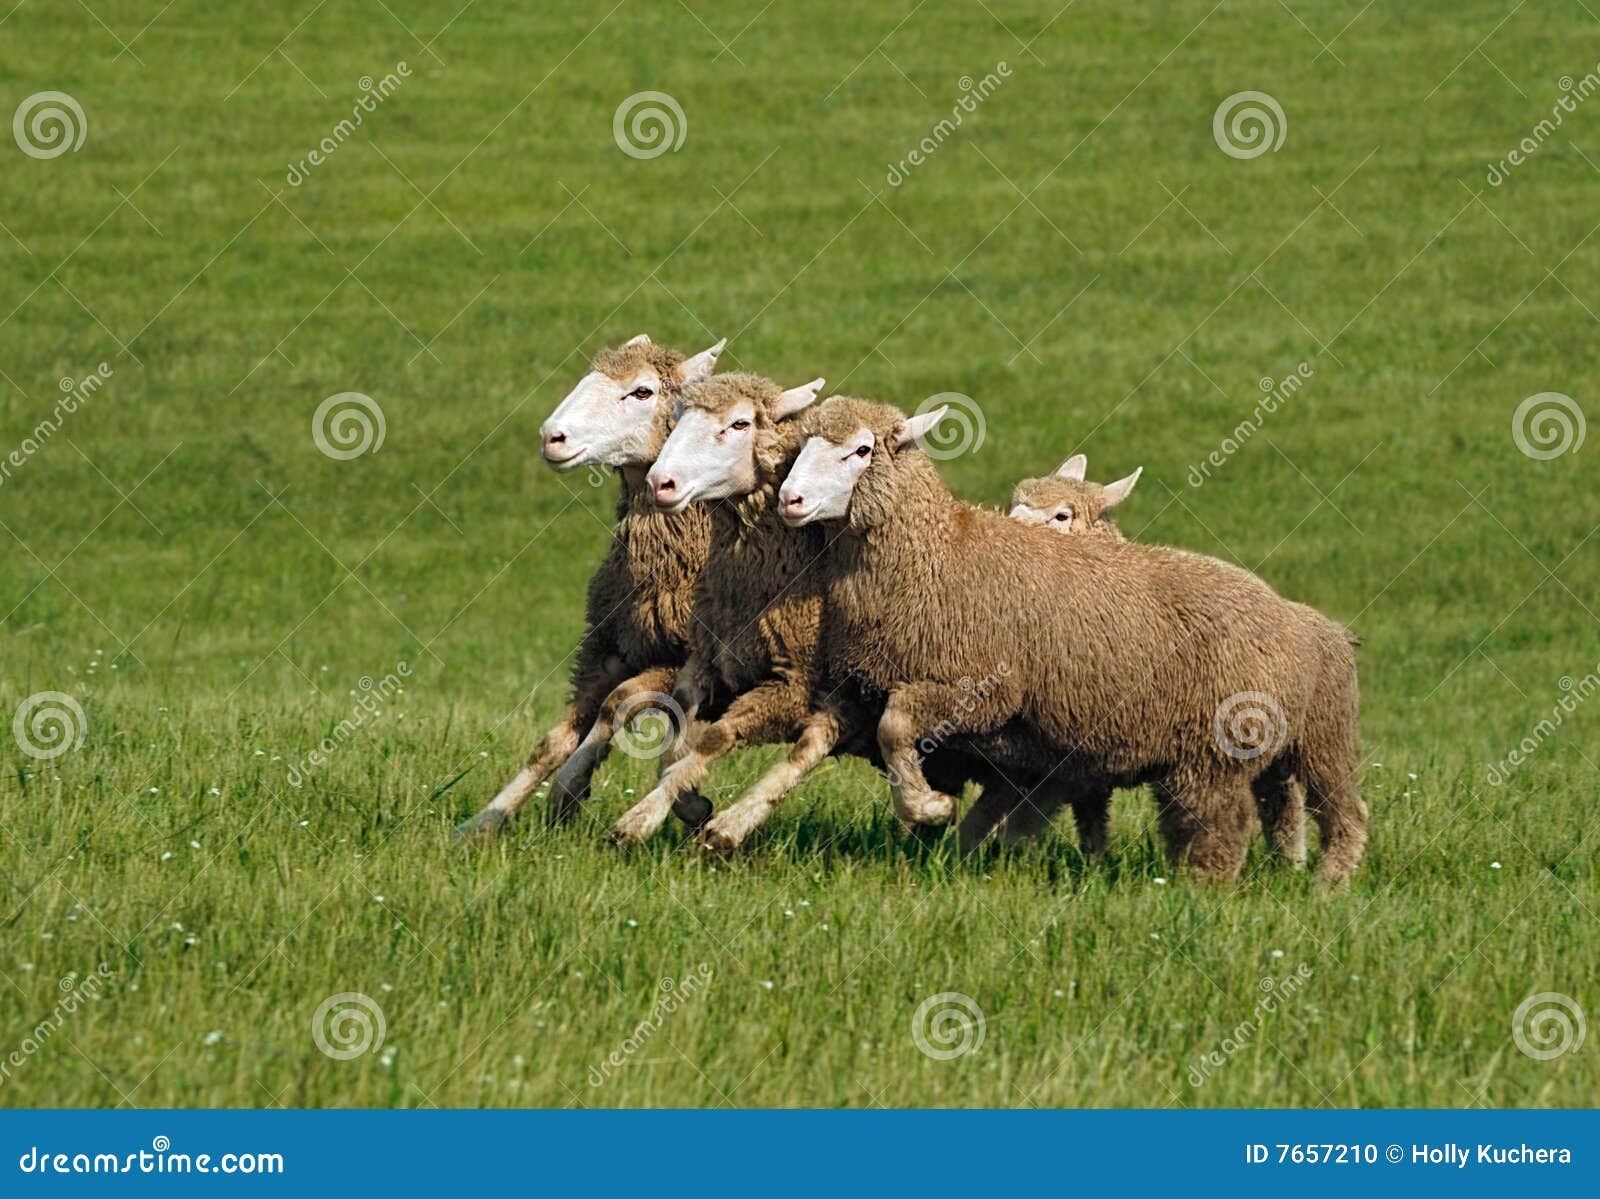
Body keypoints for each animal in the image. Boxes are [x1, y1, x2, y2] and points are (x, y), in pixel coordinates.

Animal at [455, 334, 725, 840]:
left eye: (642, 391)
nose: (552, 437)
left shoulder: (680, 660)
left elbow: (618, 706)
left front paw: (570, 791)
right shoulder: (607, 647)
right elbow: (553, 740)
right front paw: (482, 823)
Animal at [774, 396, 1367, 884]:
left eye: (862, 449)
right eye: (801, 445)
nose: (790, 498)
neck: (938, 555)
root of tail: (1304, 620)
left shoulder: (986, 689)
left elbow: (896, 729)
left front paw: (927, 807)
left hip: (1262, 742)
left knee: (1294, 815)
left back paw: (1291, 886)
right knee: (1260, 811)